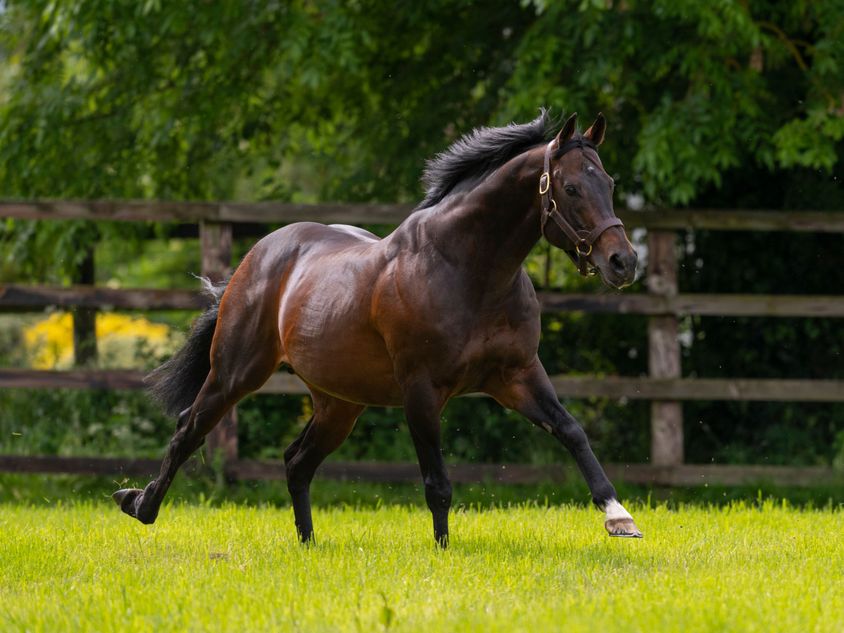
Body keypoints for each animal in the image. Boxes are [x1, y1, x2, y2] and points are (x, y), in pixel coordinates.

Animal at [113, 110, 643, 546]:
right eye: (571, 189)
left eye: (610, 182)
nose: (623, 262)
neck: (468, 270)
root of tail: (258, 255)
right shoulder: (421, 389)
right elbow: (437, 483)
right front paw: (443, 552)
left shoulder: (516, 376)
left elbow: (571, 431)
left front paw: (620, 518)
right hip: (235, 374)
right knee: (189, 430)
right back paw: (138, 504)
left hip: (339, 403)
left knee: (296, 461)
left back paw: (308, 543)